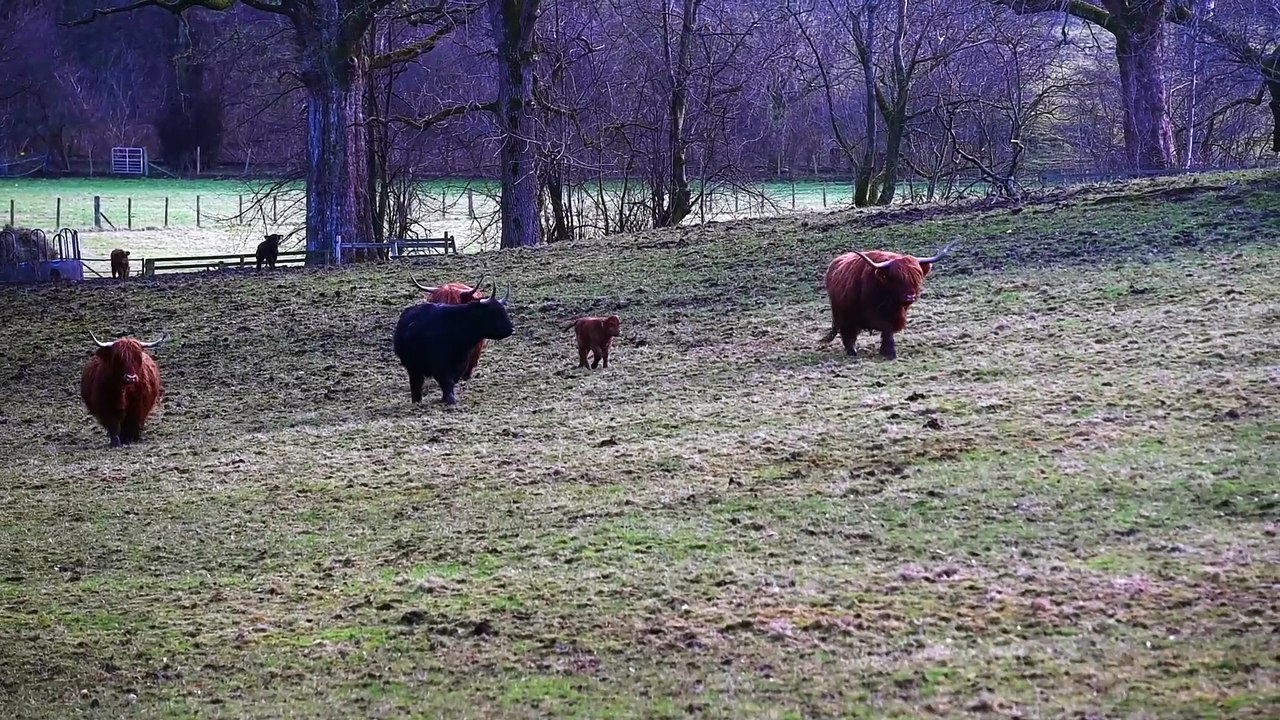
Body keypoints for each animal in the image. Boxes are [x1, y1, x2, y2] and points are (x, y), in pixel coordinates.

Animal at [820, 241, 957, 360]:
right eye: (897, 279)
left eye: (916, 277)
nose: (910, 297)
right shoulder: (871, 315)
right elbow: (887, 328)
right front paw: (890, 352)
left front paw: (885, 350)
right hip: (843, 315)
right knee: (848, 333)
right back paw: (852, 352)